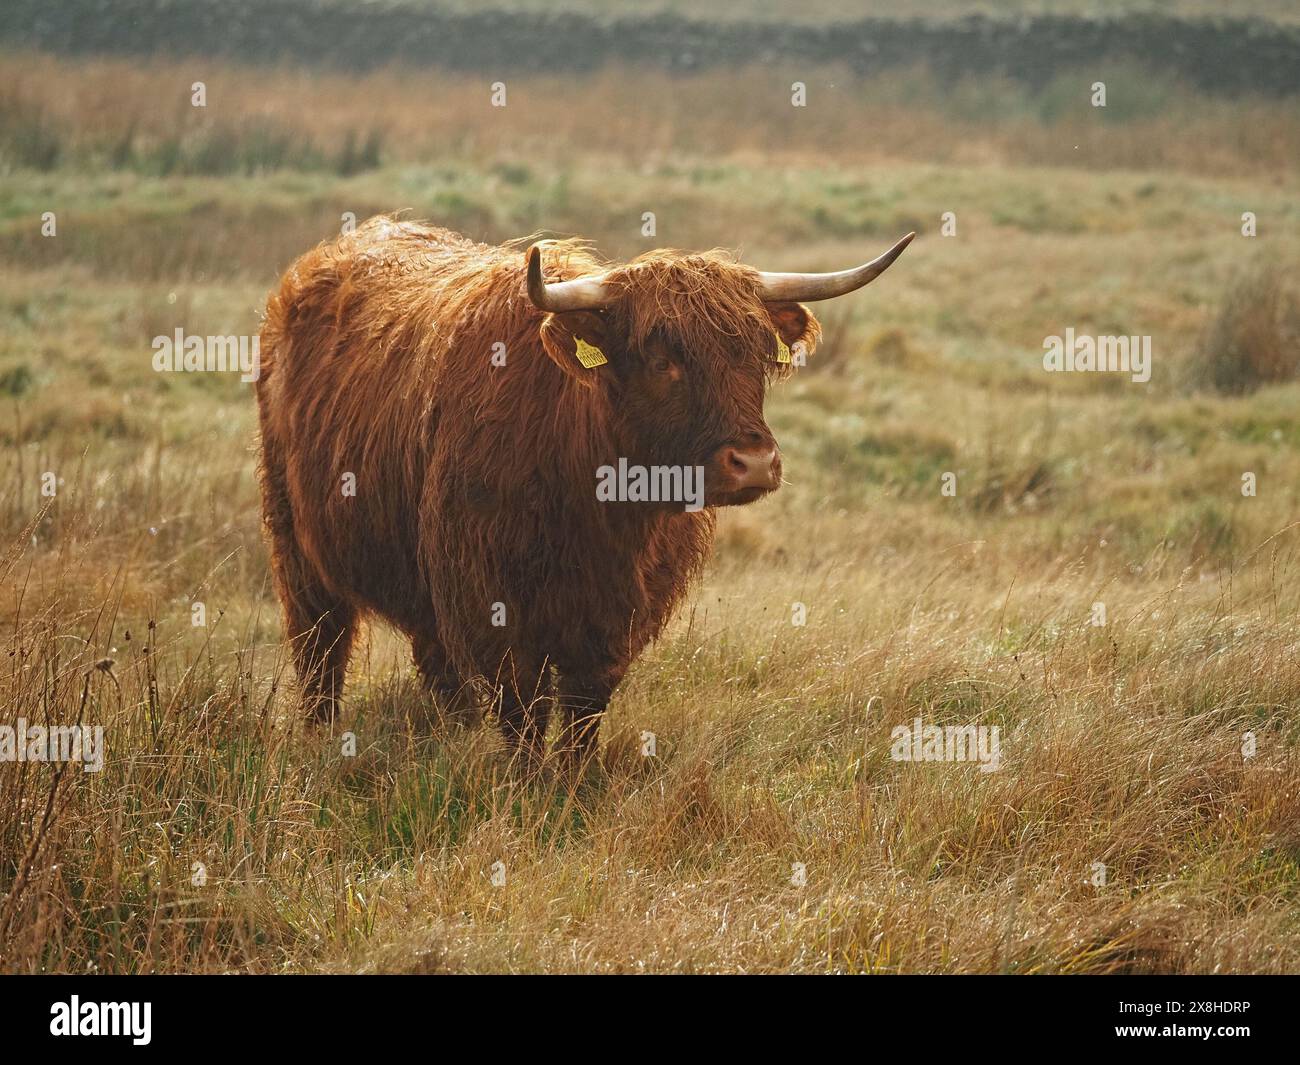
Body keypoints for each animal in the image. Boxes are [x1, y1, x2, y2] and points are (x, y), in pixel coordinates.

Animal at [255, 217, 913, 774]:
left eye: (754, 355)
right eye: (661, 359)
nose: (753, 463)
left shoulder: (618, 614)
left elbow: (584, 710)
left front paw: (572, 781)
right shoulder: (488, 600)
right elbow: (521, 711)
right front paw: (526, 786)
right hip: (296, 547)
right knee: (320, 651)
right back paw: (320, 738)